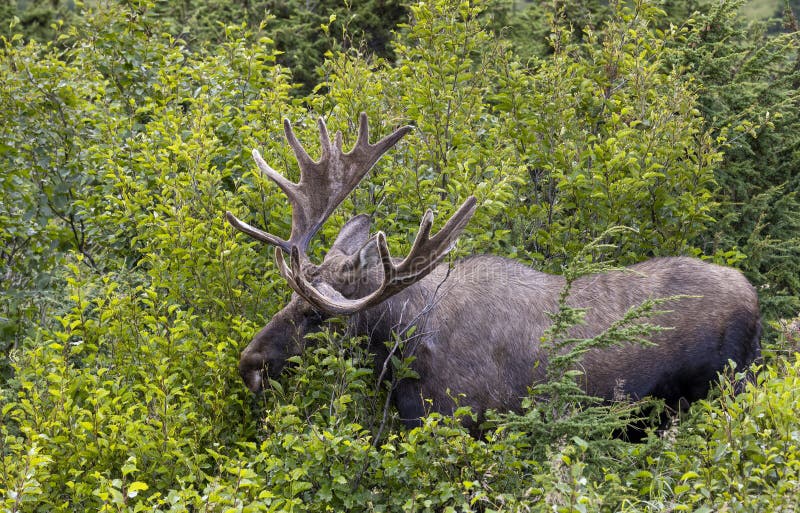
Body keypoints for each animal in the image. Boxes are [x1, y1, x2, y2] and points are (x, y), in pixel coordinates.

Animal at [226, 113, 762, 434]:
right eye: (288, 301)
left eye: (318, 316)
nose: (249, 364)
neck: (399, 349)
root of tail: (754, 298)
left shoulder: (467, 419)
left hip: (721, 389)